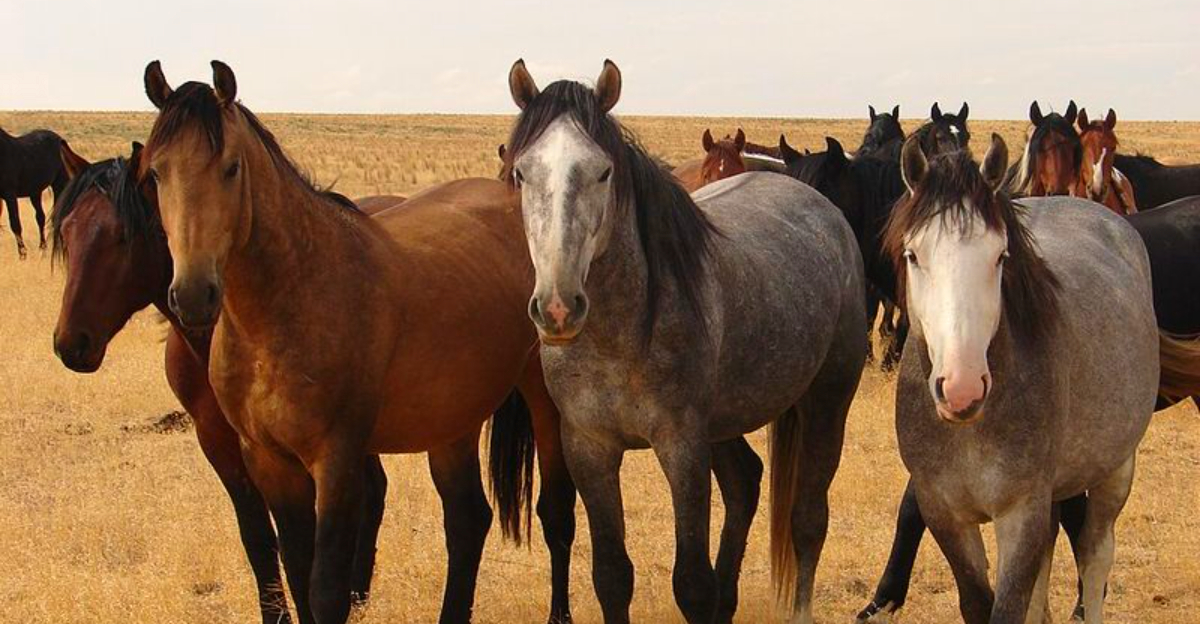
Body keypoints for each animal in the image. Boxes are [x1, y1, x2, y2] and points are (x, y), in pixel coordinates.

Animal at [0, 126, 69, 258]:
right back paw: (43, 248)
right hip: (35, 192)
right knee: (40, 217)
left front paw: (22, 254)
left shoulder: (10, 194)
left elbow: (15, 223)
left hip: (59, 184)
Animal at [139, 60, 577, 624]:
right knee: (466, 520)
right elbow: (297, 575)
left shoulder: (337, 460)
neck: (290, 301)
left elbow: (327, 589)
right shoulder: (269, 460)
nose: (193, 295)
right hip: (451, 420)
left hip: (543, 402)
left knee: (556, 512)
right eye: (155, 173)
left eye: (231, 168)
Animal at [504, 58, 866, 624]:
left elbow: (691, 582)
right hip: (726, 420)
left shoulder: (682, 446)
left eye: (603, 171)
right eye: (522, 172)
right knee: (745, 482)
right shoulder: (589, 447)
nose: (558, 307)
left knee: (808, 520)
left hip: (828, 401)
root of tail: (824, 209)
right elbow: (612, 576)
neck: (621, 336)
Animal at [889, 134, 1162, 624]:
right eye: (913, 254)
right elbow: (982, 603)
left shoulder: (1020, 513)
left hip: (1116, 467)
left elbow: (1012, 603)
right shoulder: (944, 513)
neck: (970, 431)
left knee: (1094, 558)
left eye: (1000, 255)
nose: (961, 389)